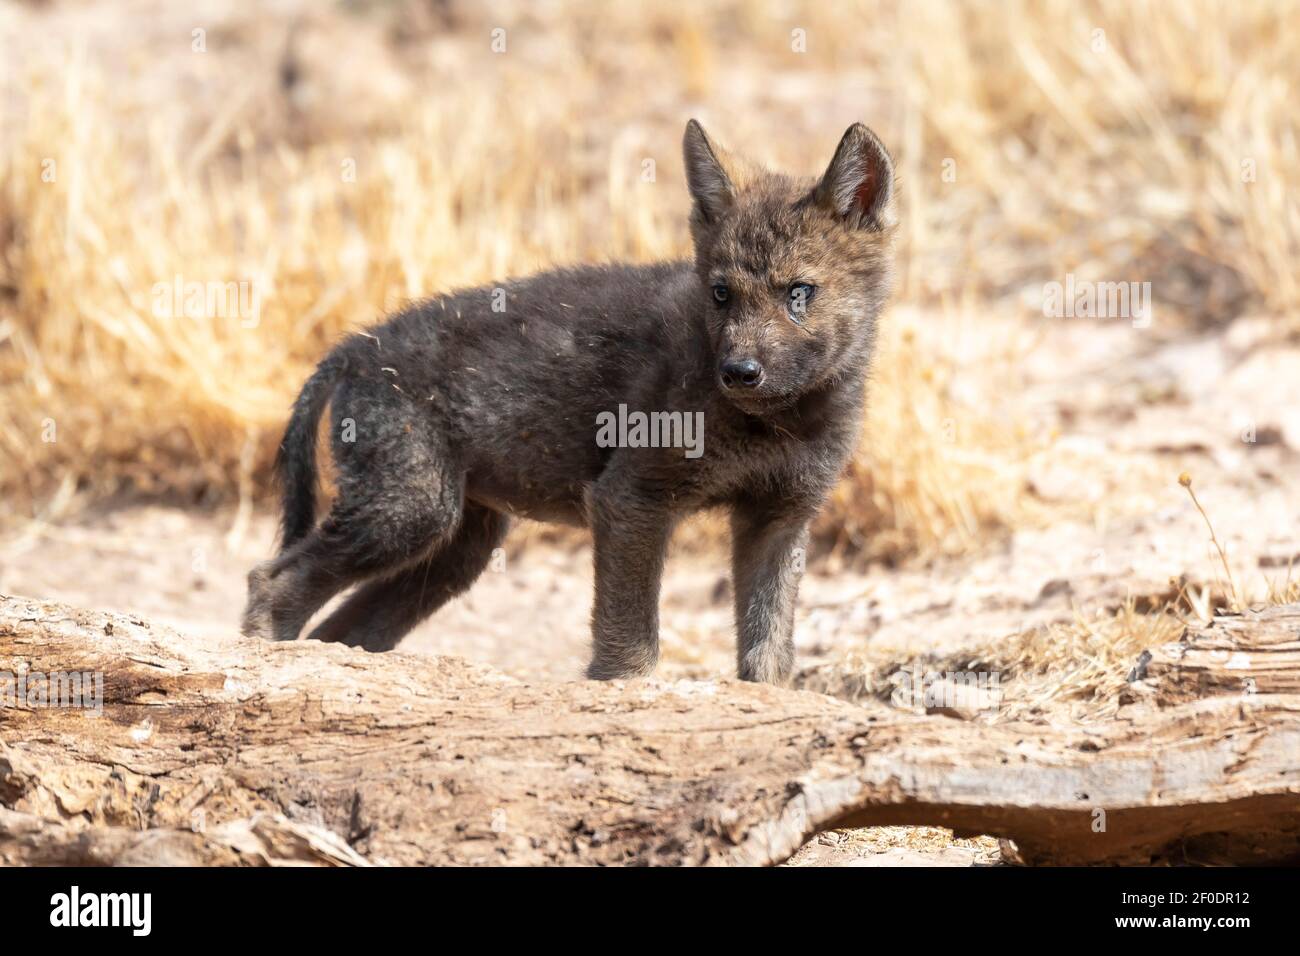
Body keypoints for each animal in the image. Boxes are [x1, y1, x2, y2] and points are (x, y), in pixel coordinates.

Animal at [241, 120, 897, 684]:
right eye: (720, 294)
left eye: (799, 293)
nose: (739, 372)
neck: (779, 421)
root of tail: (355, 347)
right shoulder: (630, 499)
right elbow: (631, 640)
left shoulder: (778, 518)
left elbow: (768, 650)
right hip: (408, 515)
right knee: (269, 582)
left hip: (454, 545)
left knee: (339, 629)